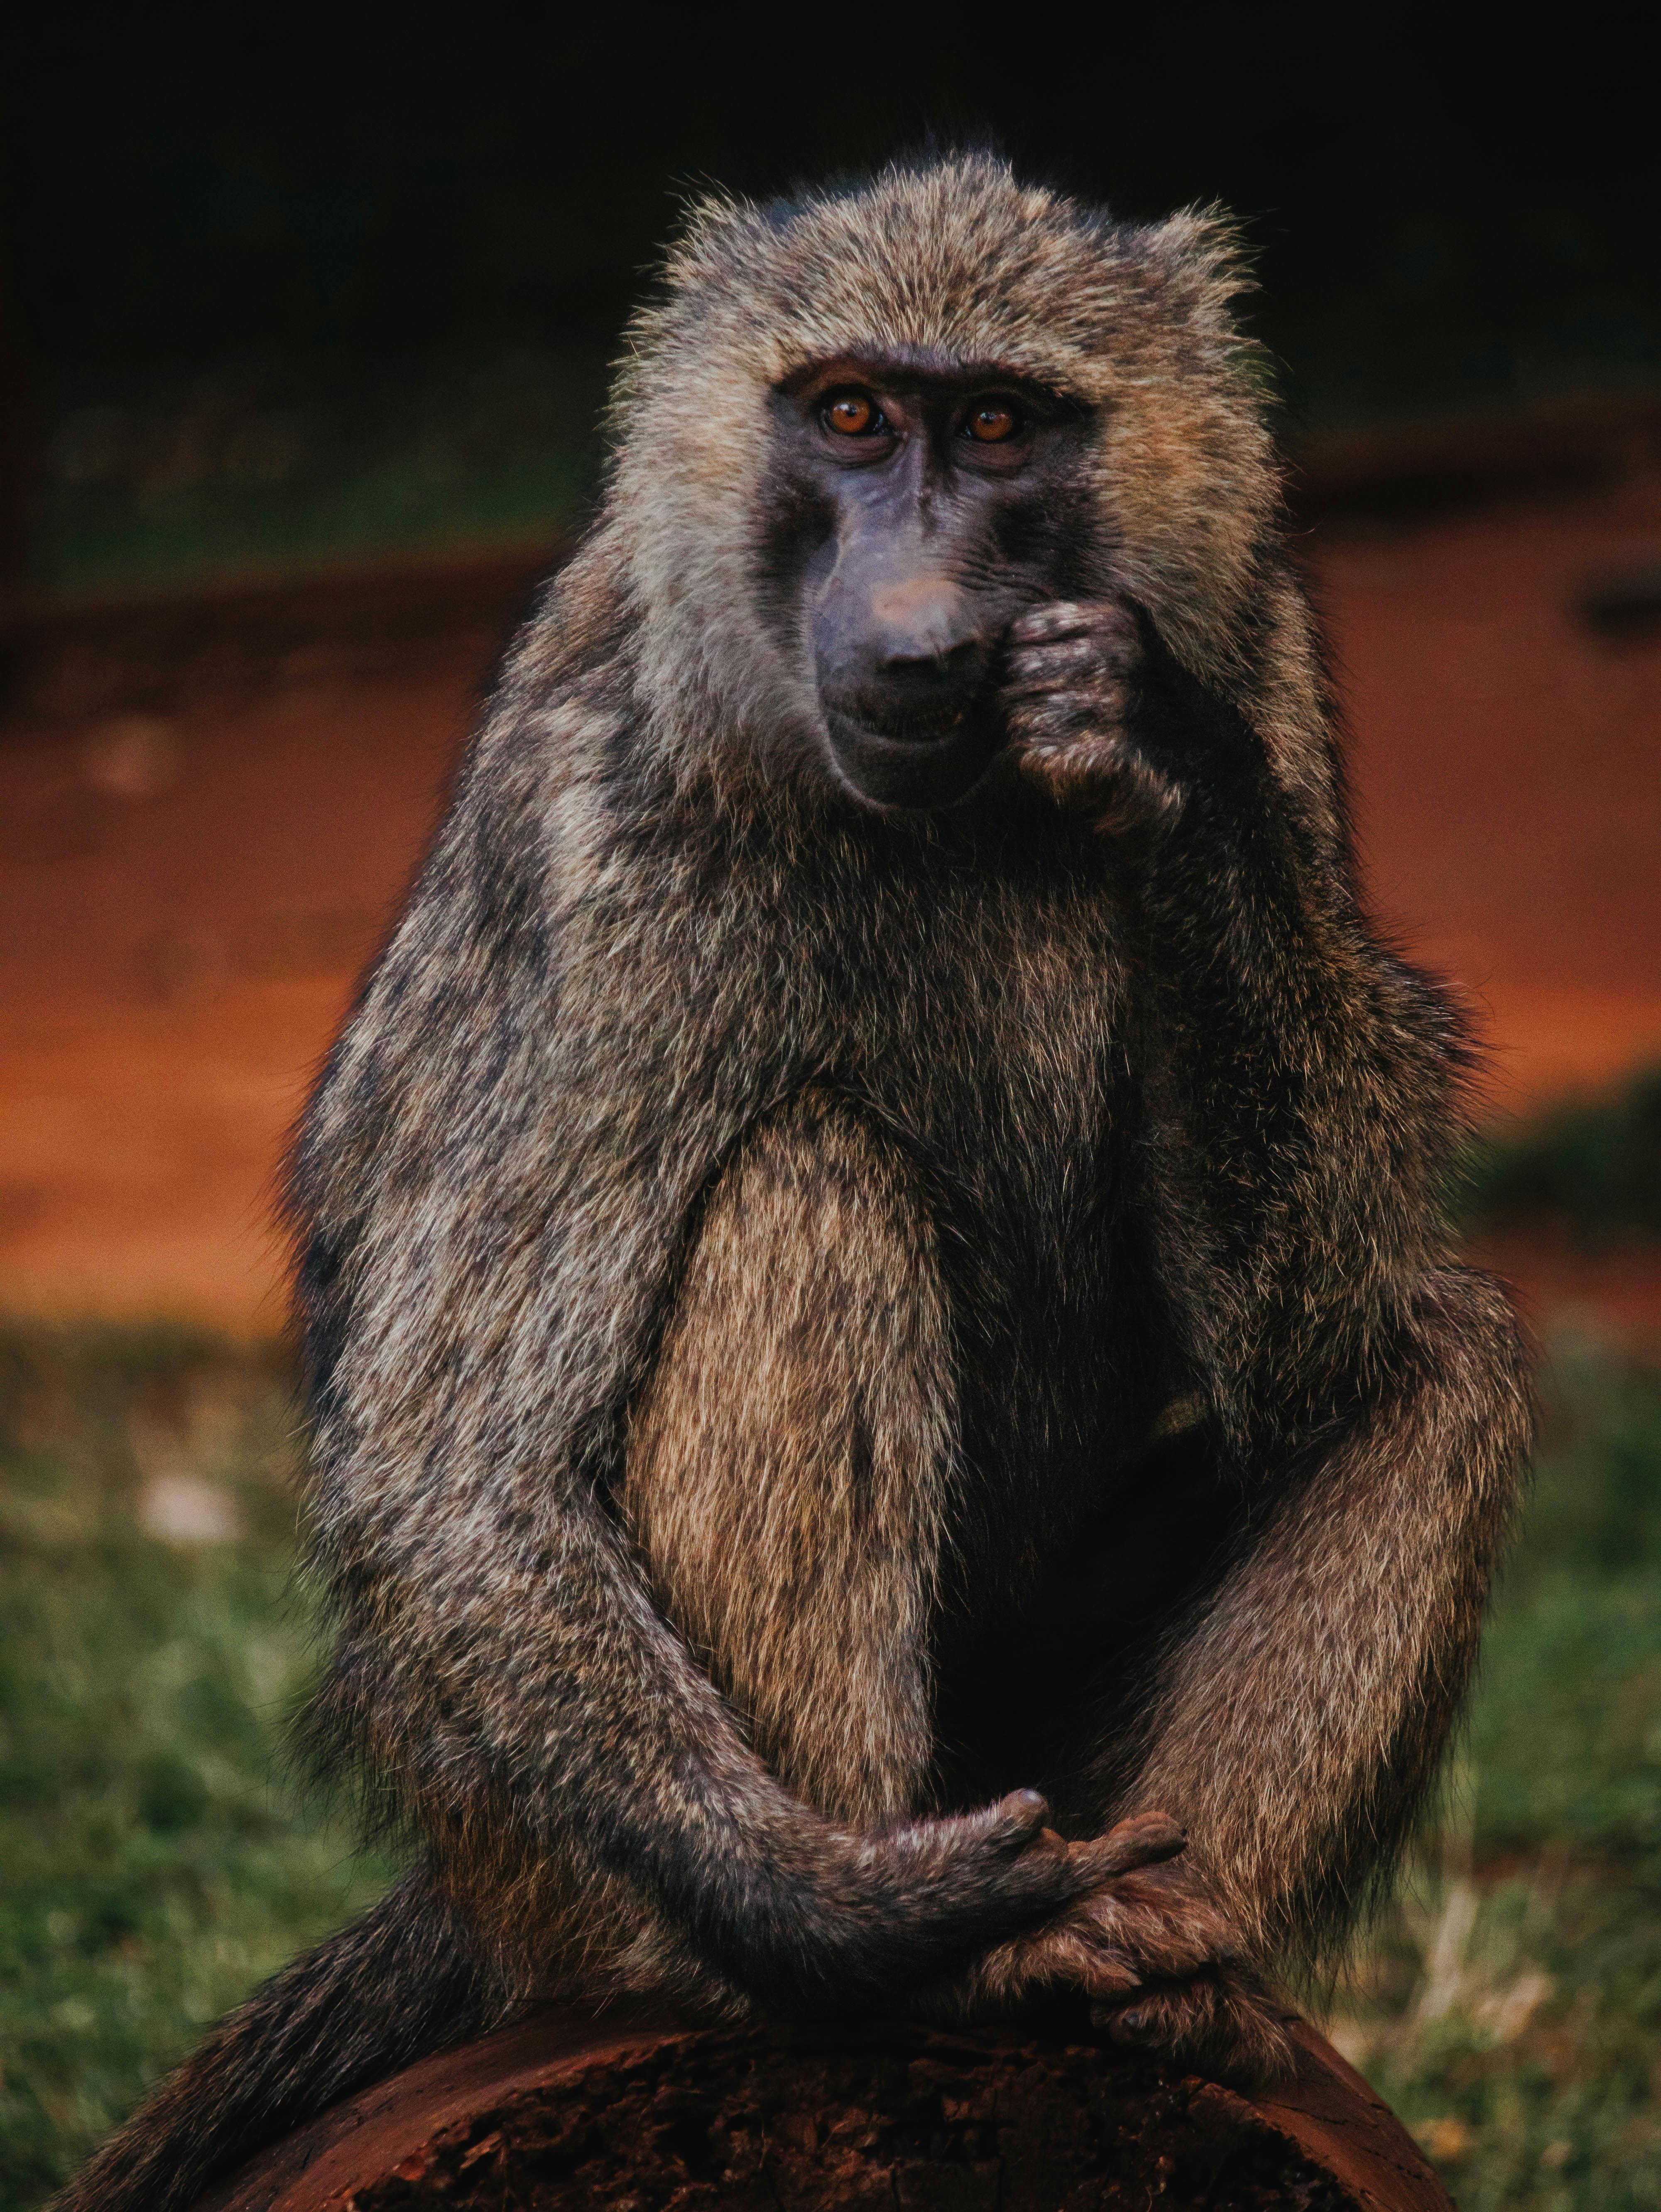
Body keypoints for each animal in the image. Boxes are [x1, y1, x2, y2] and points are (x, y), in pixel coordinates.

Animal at [57, 153, 1532, 2212]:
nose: (910, 631)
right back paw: (922, 1955)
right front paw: (844, 1917)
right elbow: (454, 1471)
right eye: (845, 415)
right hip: (563, 1867)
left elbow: (1302, 1345)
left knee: (1435, 1349)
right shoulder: (602, 844)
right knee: (801, 1189)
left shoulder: (1270, 670)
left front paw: (1145, 751)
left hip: (1030, 1741)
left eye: (994, 425)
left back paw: (1170, 1968)